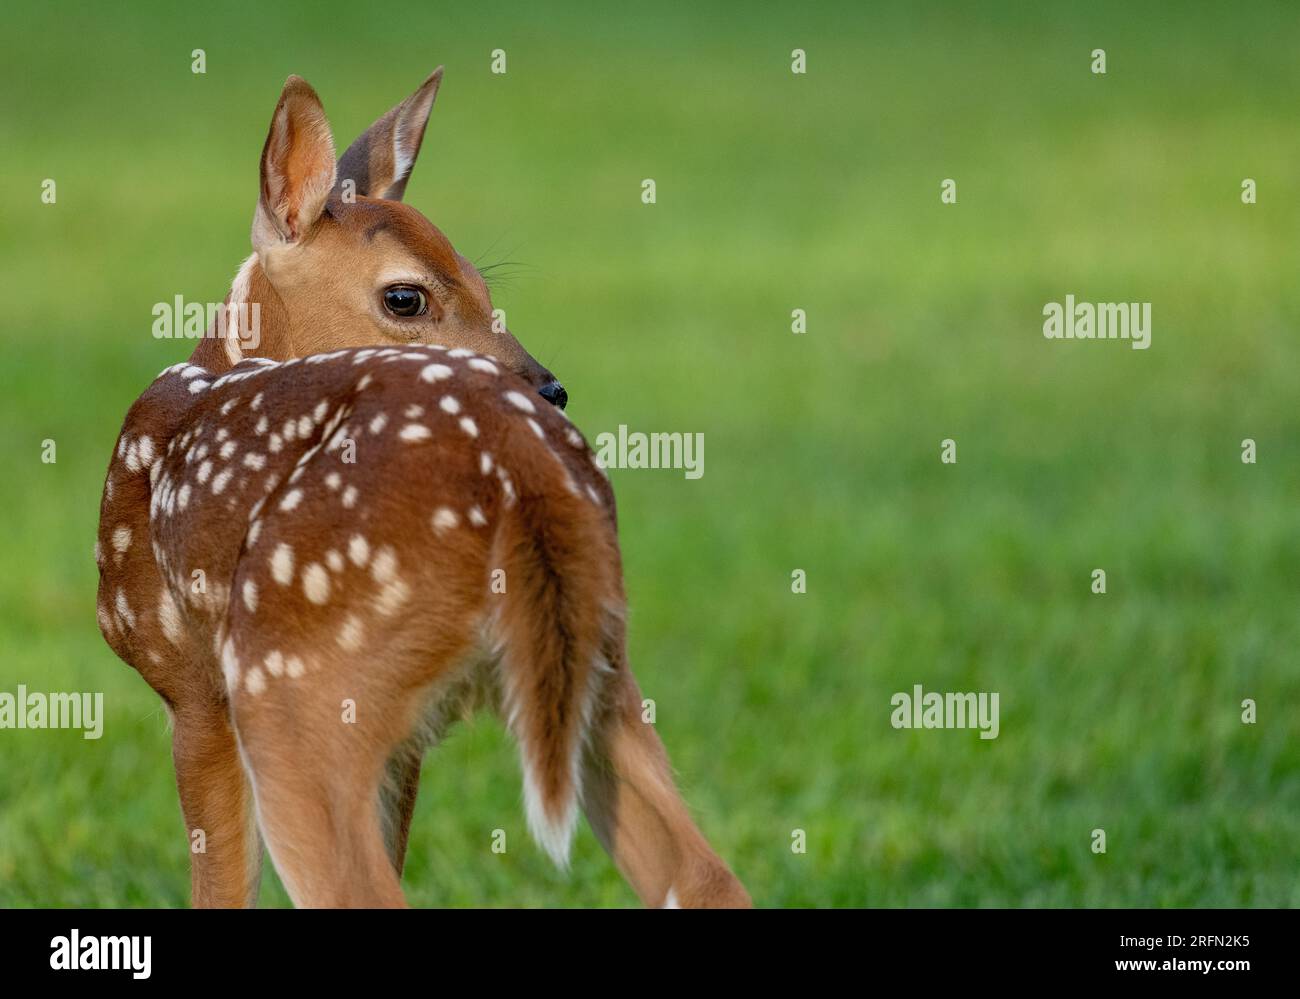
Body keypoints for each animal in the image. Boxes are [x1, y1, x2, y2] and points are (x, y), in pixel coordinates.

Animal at [94, 70, 750, 909]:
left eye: (482, 285)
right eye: (408, 296)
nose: (552, 387)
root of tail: (525, 472)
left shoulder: (190, 682)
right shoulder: (403, 743)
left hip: (294, 689)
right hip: (601, 666)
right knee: (705, 873)